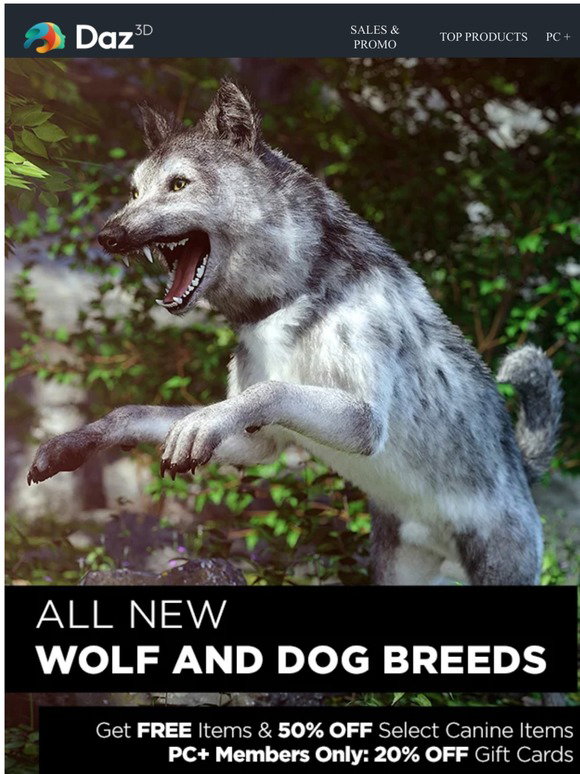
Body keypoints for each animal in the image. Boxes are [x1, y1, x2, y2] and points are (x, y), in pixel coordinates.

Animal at [27, 81, 562, 585]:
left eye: (178, 184)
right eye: (135, 192)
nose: (108, 236)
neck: (287, 297)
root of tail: (523, 467)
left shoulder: (365, 421)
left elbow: (271, 389)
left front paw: (195, 426)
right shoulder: (257, 446)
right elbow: (134, 412)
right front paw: (74, 443)